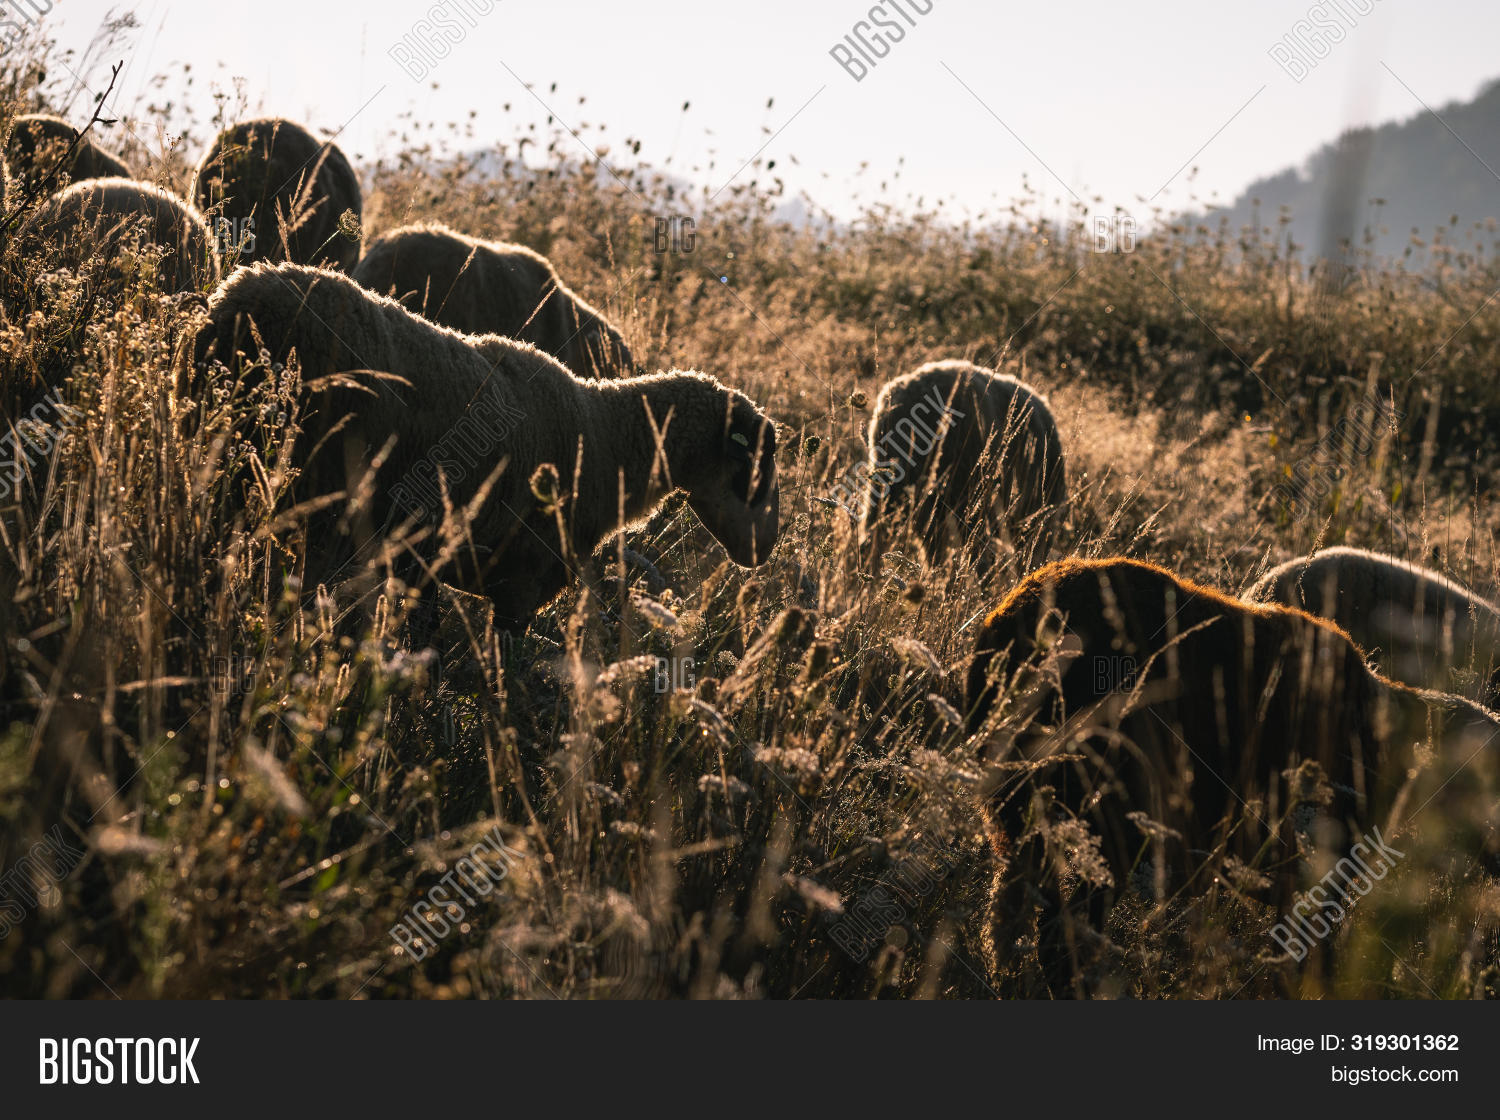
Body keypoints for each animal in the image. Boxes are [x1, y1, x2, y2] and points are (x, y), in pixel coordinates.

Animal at [193, 262, 780, 629]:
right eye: (752, 469)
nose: (764, 551)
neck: (606, 440)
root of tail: (239, 297)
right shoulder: (520, 586)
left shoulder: (429, 568)